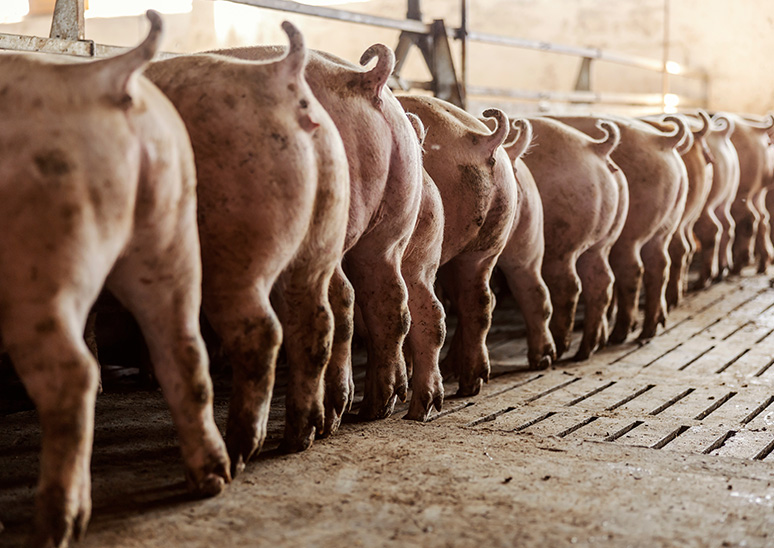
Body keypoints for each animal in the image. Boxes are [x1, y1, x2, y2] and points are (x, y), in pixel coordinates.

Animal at [0, 11, 230, 547]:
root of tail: (107, 77)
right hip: (171, 225)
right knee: (186, 349)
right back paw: (211, 478)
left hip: (42, 254)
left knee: (73, 374)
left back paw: (54, 527)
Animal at [145, 22, 350, 473]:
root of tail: (282, 76)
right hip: (319, 241)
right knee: (317, 321)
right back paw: (300, 438)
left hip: (236, 251)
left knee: (263, 331)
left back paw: (239, 452)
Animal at [510, 117, 628, 360]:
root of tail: (597, 148)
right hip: (602, 242)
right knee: (602, 280)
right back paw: (587, 350)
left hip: (561, 246)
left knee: (566, 286)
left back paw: (560, 350)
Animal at [553, 115, 689, 343]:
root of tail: (663, 140)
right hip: (663, 227)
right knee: (661, 262)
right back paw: (646, 330)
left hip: (621, 237)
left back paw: (615, 337)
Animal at [694, 113, 740, 286]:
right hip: (726, 198)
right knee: (728, 224)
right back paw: (722, 272)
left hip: (704, 204)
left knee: (710, 229)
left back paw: (702, 282)